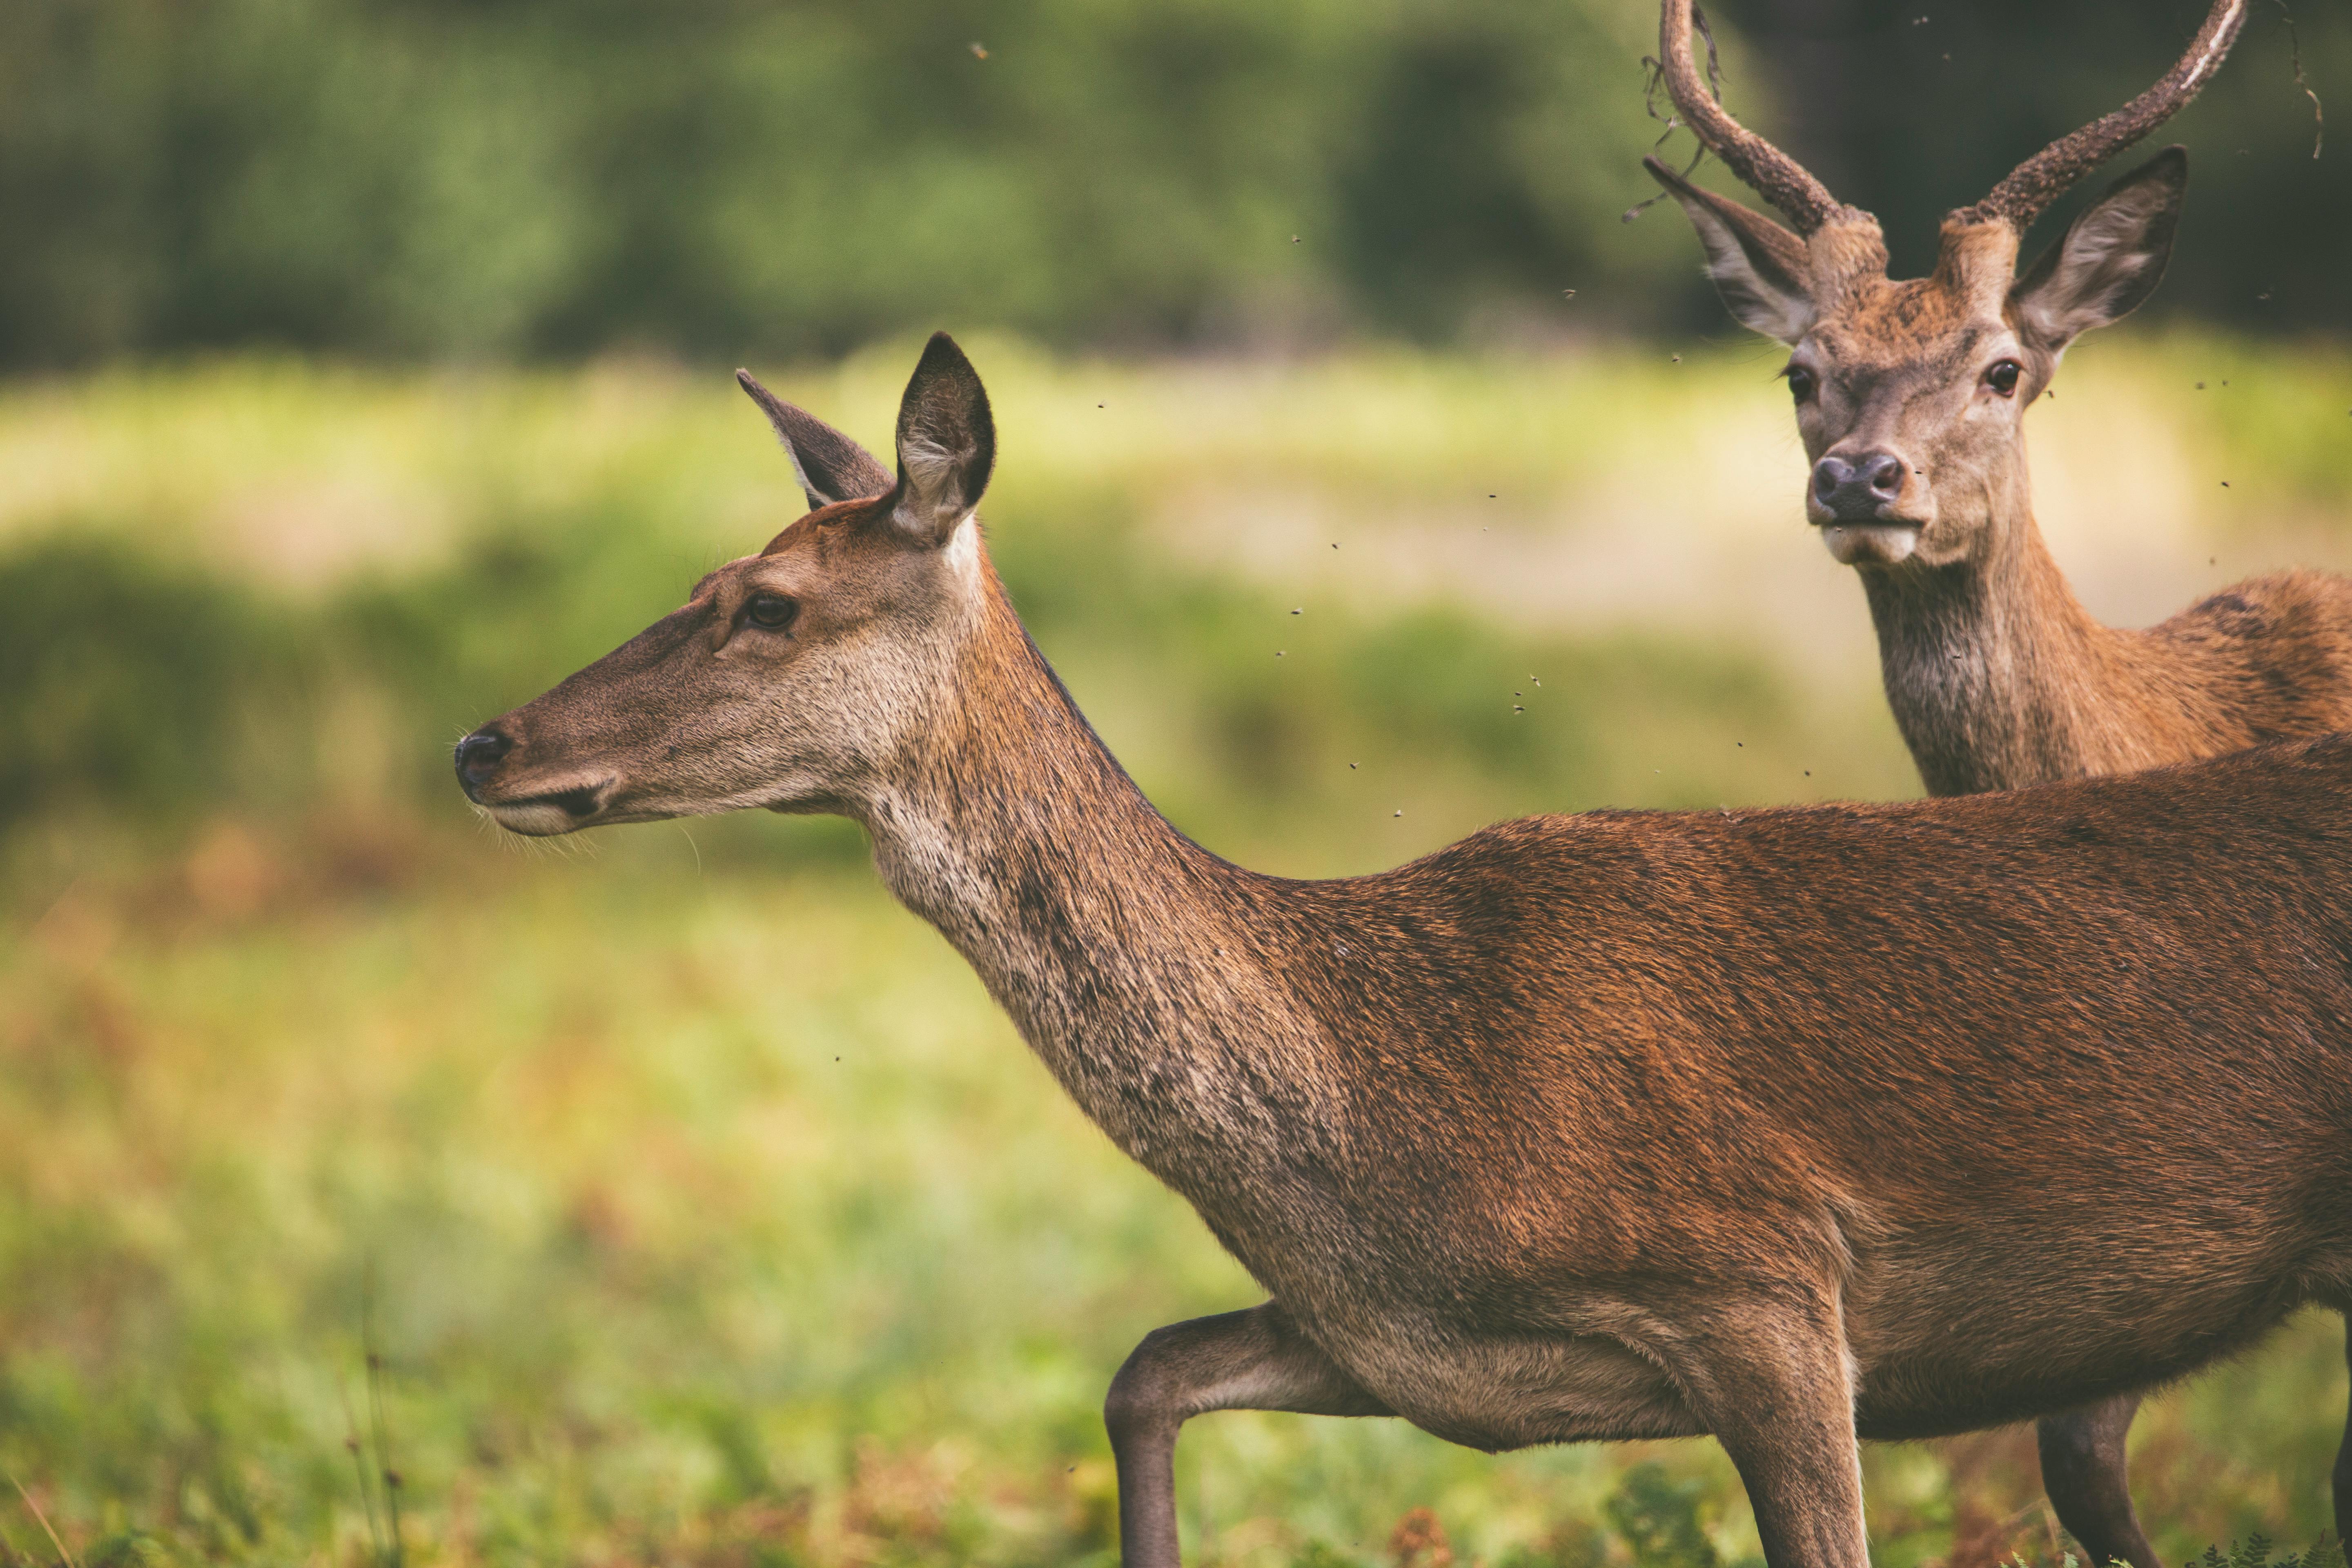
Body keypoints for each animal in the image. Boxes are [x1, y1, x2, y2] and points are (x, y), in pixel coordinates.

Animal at [454, 332, 2352, 1568]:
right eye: (705, 575)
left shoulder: (1765, 1282)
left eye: (764, 604)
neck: (1386, 1104)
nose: (485, 744)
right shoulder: (1401, 1346)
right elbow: (1141, 1375)